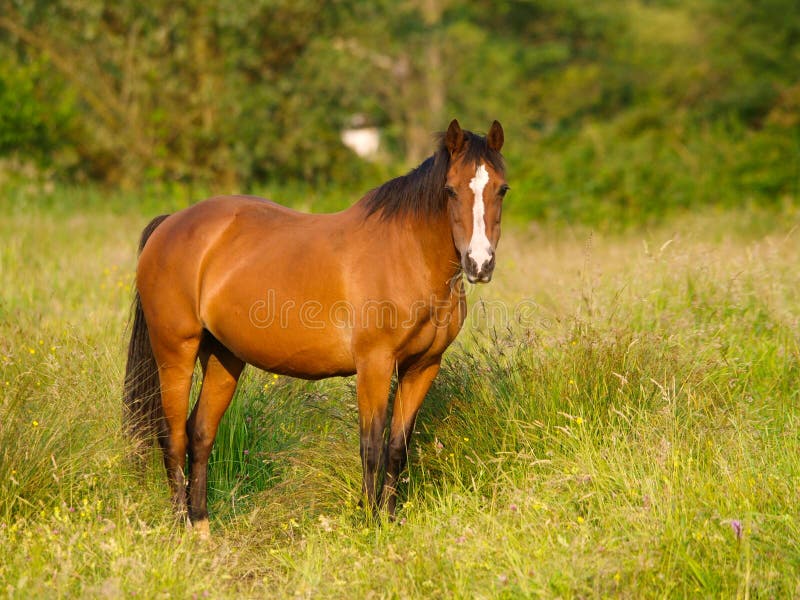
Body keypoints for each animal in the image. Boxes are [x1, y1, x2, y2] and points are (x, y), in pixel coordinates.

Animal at [123, 119, 508, 537]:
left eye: (501, 188)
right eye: (450, 189)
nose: (479, 263)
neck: (406, 256)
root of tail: (170, 224)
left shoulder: (422, 367)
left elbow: (396, 448)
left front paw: (388, 523)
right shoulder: (374, 365)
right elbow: (370, 447)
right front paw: (368, 524)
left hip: (224, 358)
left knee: (200, 434)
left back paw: (201, 528)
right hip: (175, 351)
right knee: (173, 436)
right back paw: (180, 529)